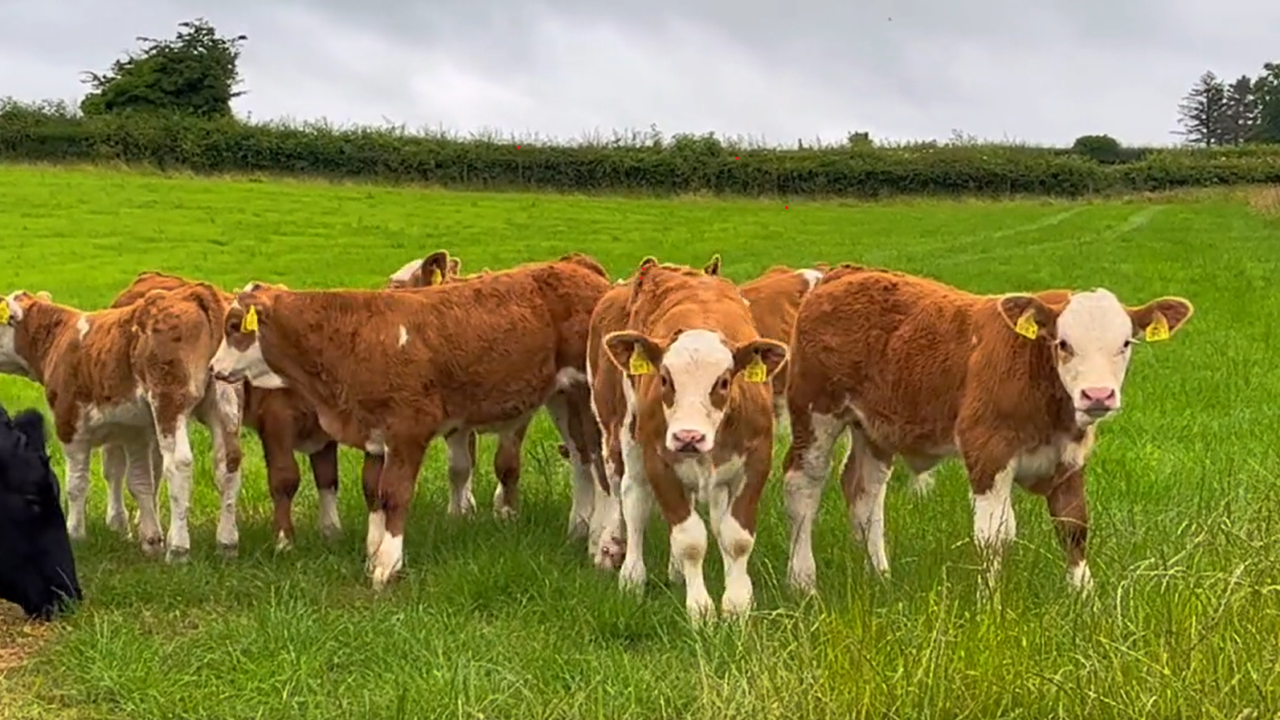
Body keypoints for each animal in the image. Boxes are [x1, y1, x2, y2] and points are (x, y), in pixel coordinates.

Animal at [0, 286, 244, 562]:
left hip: (169, 401)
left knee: (179, 465)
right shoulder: (133, 432)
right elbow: (139, 482)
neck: (60, 339)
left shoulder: (70, 425)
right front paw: (149, 539)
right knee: (228, 465)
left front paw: (75, 533)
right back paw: (227, 543)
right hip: (225, 404)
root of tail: (198, 291)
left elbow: (76, 484)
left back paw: (179, 549)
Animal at [209, 255, 612, 588]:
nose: (212, 368)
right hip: (562, 396)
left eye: (235, 325)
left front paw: (388, 564)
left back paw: (602, 545)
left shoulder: (409, 430)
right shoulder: (375, 434)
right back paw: (580, 529)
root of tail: (582, 271)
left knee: (602, 468)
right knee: (582, 460)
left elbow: (395, 494)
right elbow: (374, 491)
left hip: (591, 398)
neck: (358, 338)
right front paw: (373, 553)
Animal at [595, 257, 789, 622]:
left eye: (724, 381)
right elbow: (690, 539)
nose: (688, 436)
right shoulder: (659, 460)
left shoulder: (757, 459)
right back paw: (632, 574)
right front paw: (700, 609)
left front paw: (737, 602)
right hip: (622, 429)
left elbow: (735, 537)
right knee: (633, 498)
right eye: (665, 379)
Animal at [780, 263, 1195, 596]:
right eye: (1063, 343)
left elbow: (1074, 526)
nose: (1098, 395)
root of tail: (845, 272)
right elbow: (994, 535)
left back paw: (881, 577)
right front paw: (990, 607)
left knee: (865, 490)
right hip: (815, 411)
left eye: (1125, 343)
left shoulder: (1070, 458)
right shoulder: (987, 450)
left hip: (874, 427)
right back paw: (803, 582)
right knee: (803, 484)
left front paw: (1085, 599)